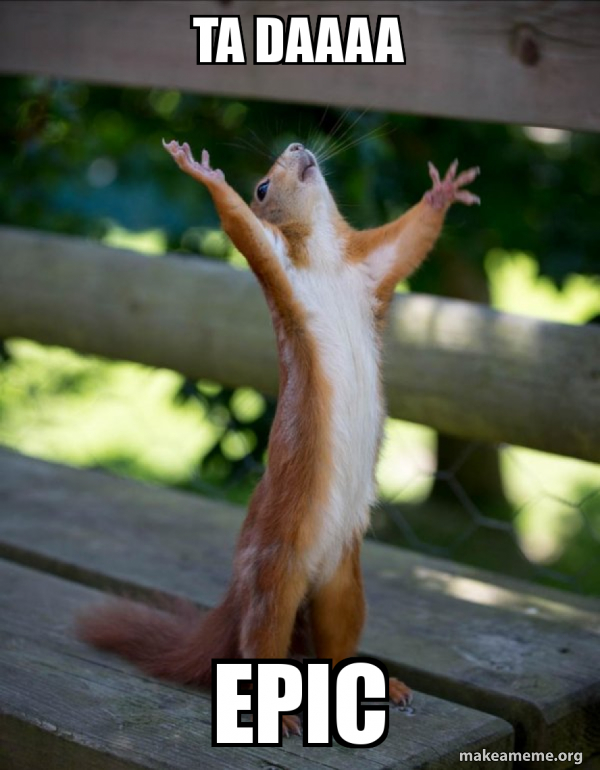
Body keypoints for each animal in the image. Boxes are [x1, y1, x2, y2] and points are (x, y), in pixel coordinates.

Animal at [77, 138, 479, 737]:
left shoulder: (372, 267)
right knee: (261, 644)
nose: (296, 147)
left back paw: (380, 687)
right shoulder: (278, 267)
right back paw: (284, 713)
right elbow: (241, 226)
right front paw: (204, 173)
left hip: (344, 584)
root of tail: (238, 592)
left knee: (336, 649)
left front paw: (443, 191)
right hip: (274, 575)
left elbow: (409, 240)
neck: (327, 259)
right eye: (262, 186)